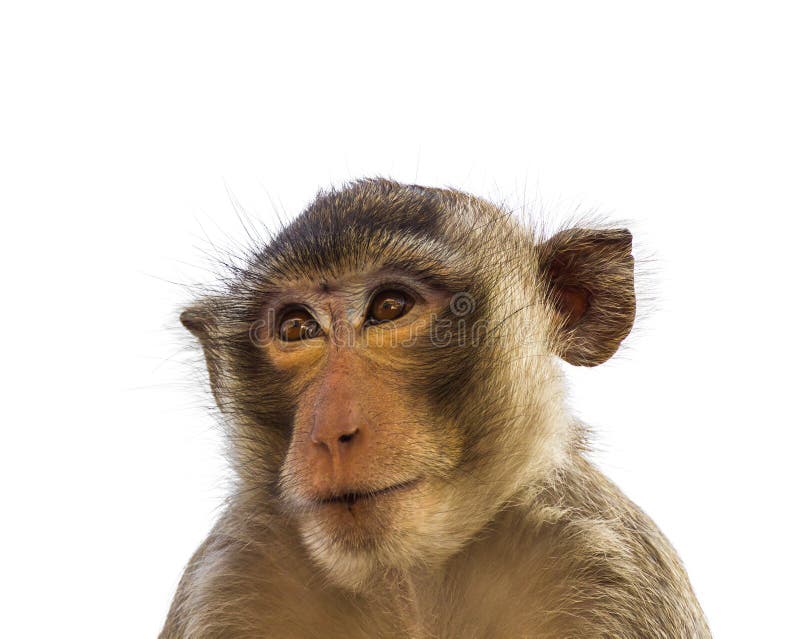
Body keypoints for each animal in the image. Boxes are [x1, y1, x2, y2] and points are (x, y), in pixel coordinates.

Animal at [161, 178, 710, 638]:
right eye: (297, 328)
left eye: (389, 307)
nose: (330, 432)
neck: (409, 581)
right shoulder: (226, 581)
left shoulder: (613, 568)